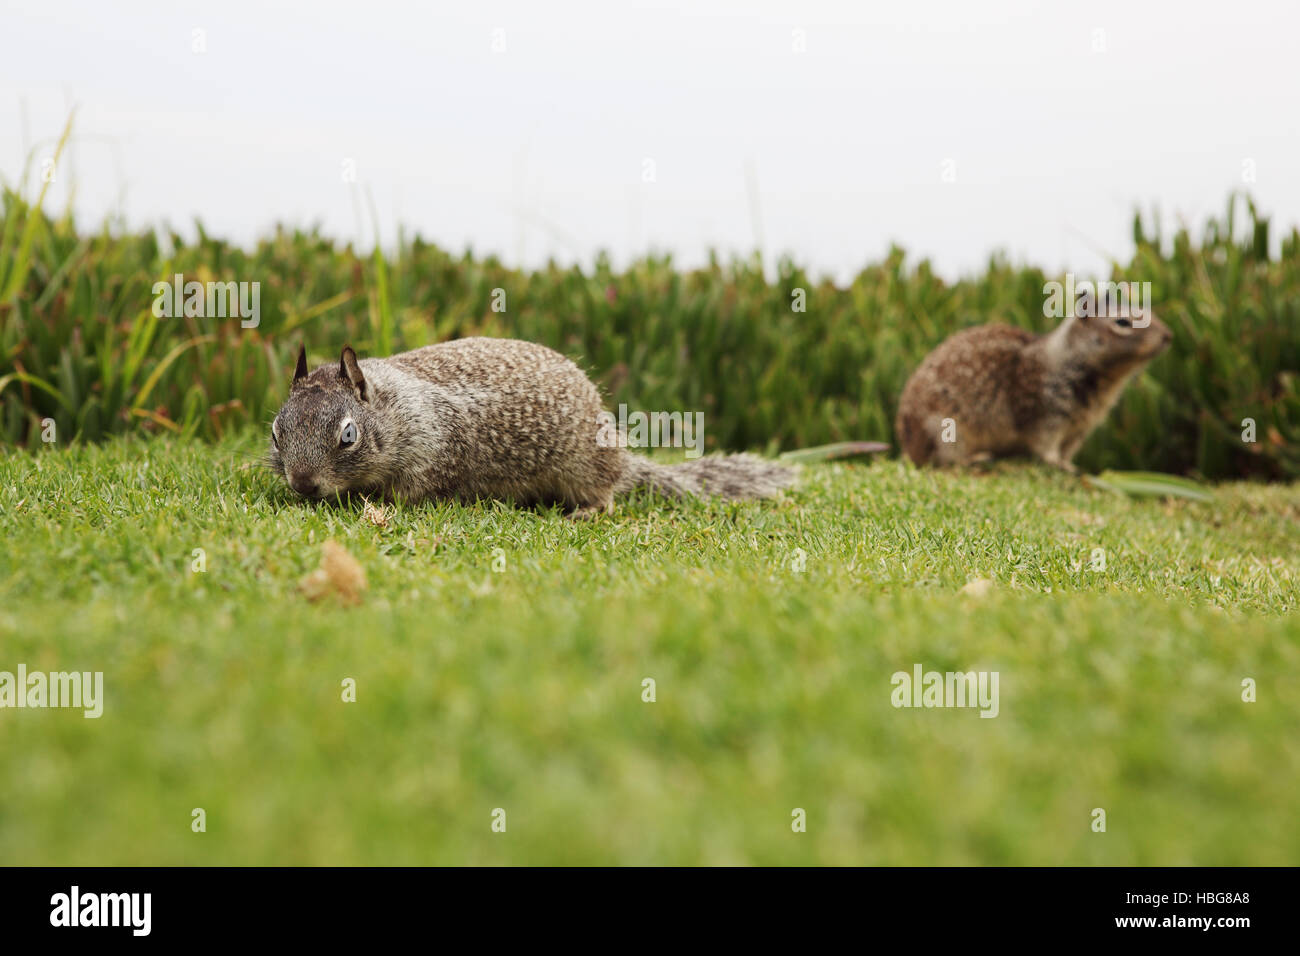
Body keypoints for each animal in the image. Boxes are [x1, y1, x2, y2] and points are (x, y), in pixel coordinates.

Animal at [268, 337, 794, 516]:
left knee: (606, 493)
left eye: (348, 435)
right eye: (276, 432)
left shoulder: (430, 457)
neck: (395, 409)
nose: (304, 484)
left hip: (584, 467)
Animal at [895, 288, 1172, 471]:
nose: (1168, 336)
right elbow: (1046, 446)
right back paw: (976, 459)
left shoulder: (1080, 428)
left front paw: (1068, 465)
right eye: (1122, 322)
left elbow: (1066, 451)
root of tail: (908, 444)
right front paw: (1060, 465)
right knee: (942, 460)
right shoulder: (1047, 414)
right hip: (945, 430)